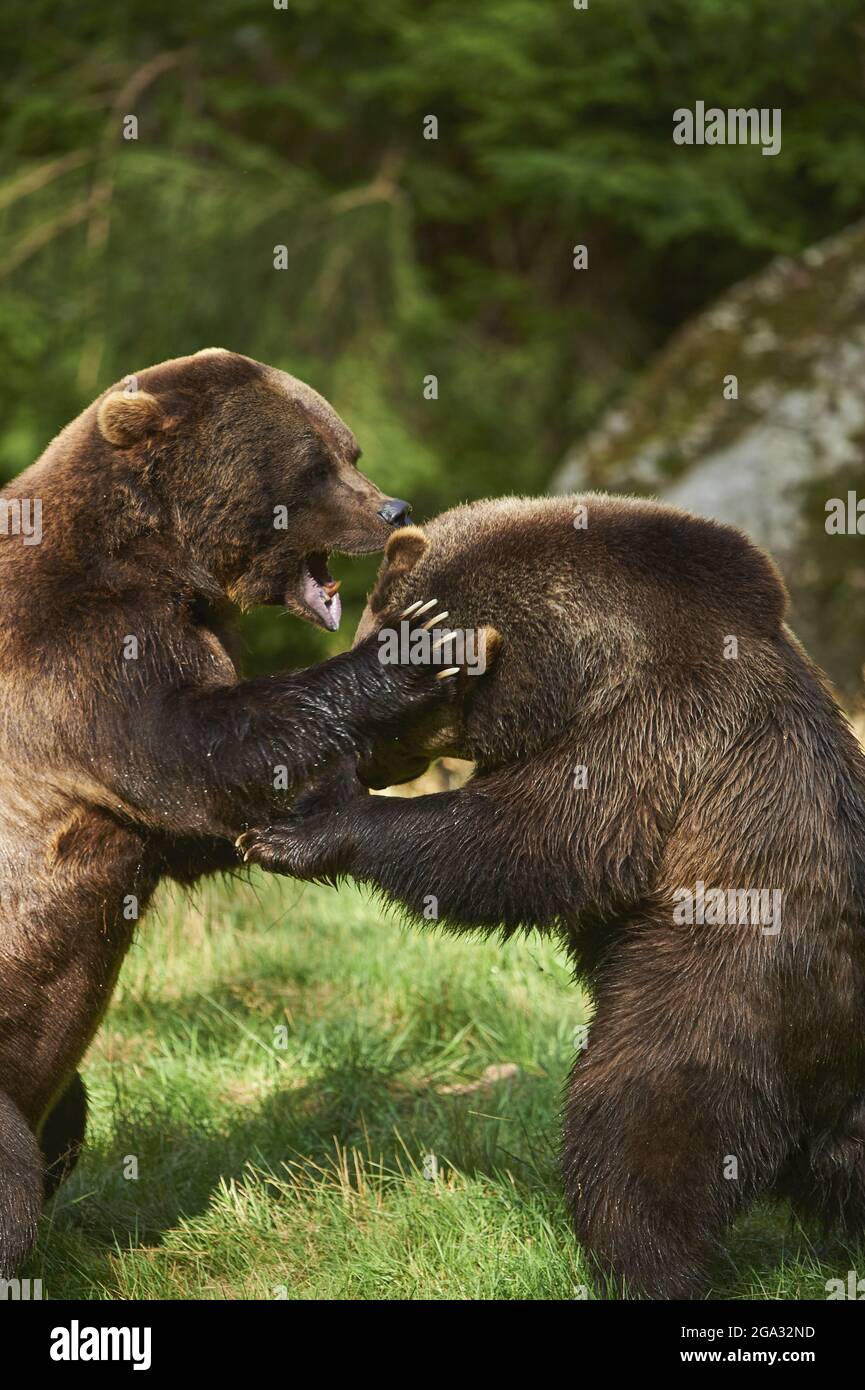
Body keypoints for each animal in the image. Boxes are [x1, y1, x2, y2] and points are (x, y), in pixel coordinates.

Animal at [0, 347, 465, 1278]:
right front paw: (411, 645)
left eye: (349, 448)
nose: (394, 508)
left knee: (67, 1117)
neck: (155, 561)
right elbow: (200, 749)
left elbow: (201, 827)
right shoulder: (73, 653)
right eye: (315, 460)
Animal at [238, 493, 865, 1299]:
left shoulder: (660, 726)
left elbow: (539, 841)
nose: (365, 761)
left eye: (389, 708)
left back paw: (646, 1265)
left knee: (637, 1114)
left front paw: (301, 827)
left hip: (730, 981)